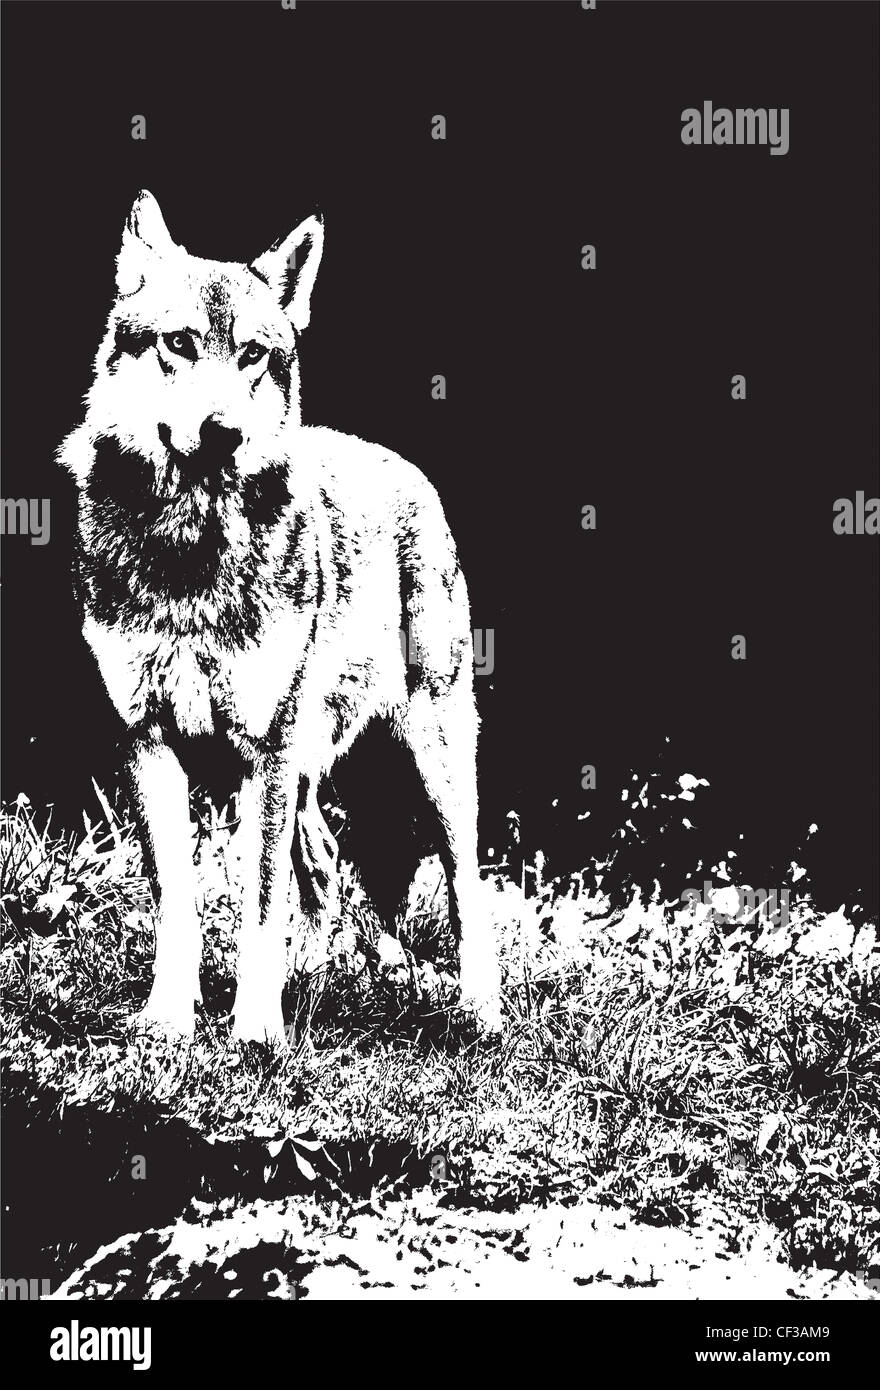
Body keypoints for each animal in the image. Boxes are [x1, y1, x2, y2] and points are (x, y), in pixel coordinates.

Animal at [58, 191, 502, 1042]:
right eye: (179, 344)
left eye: (256, 356)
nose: (224, 432)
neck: (190, 557)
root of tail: (408, 467)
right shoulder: (150, 742)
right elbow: (181, 904)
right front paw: (170, 1021)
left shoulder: (262, 751)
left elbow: (259, 906)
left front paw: (255, 1032)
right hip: (306, 767)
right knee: (325, 864)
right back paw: (314, 989)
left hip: (424, 757)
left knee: (467, 885)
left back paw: (480, 1013)